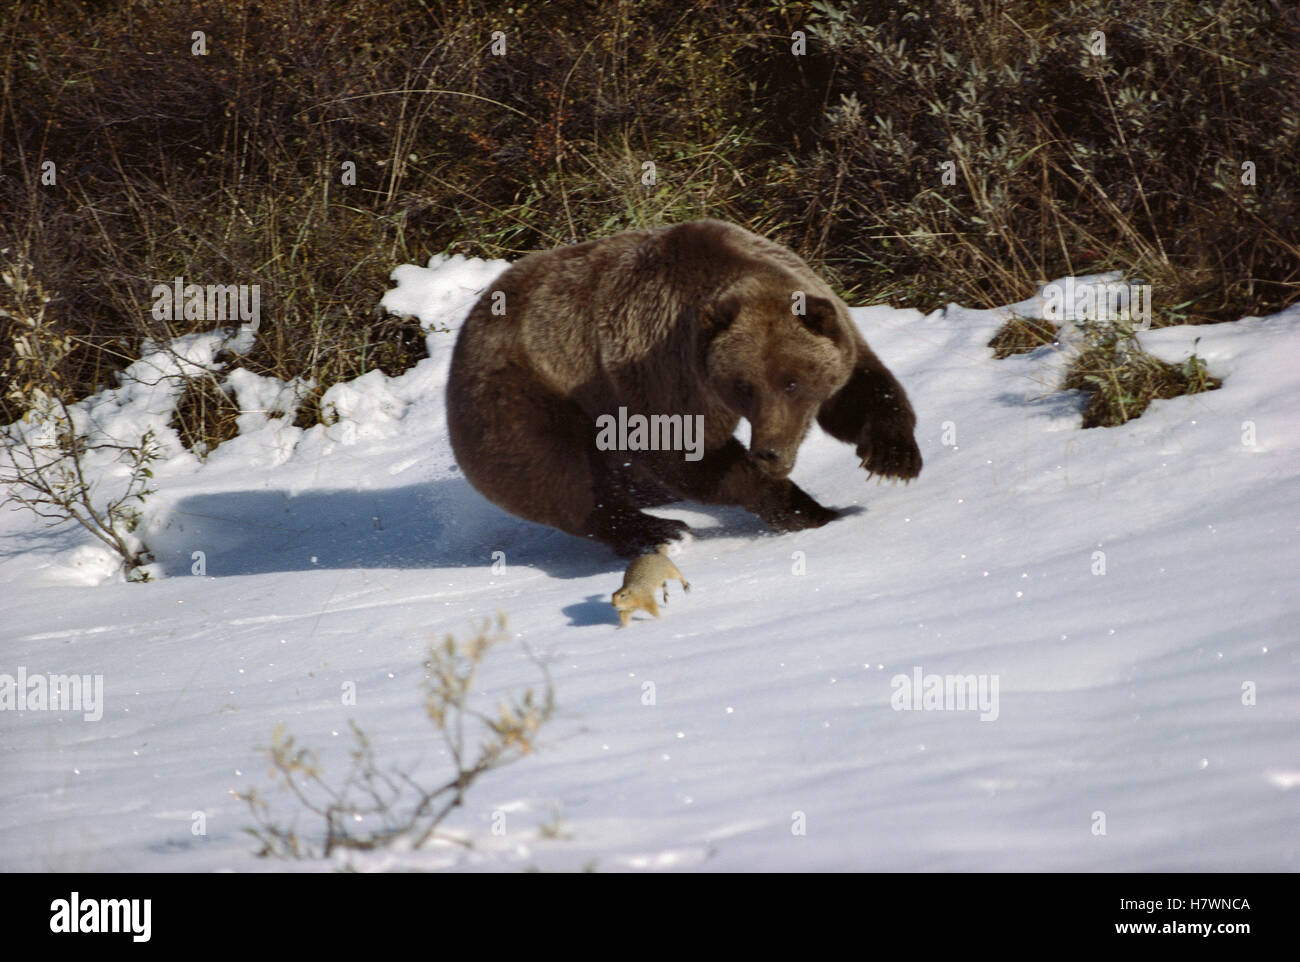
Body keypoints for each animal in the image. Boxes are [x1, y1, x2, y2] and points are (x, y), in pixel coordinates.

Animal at [446, 219, 921, 557]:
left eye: (792, 381)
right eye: (744, 386)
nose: (768, 451)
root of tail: (466, 329)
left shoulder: (831, 329)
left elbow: (859, 393)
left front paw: (891, 458)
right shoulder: (662, 375)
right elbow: (689, 456)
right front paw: (807, 509)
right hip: (524, 389)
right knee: (560, 475)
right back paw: (659, 531)